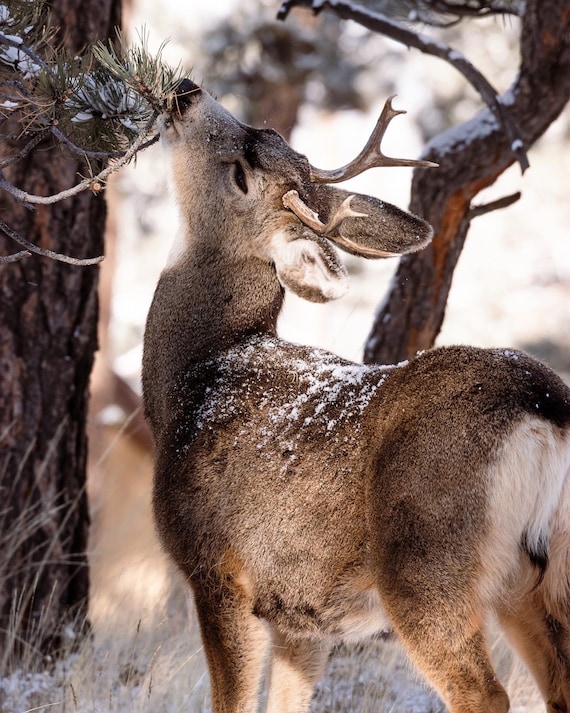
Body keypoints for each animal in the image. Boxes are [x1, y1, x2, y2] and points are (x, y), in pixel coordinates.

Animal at [142, 77, 570, 713]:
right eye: (263, 131)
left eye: (243, 168)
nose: (186, 90)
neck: (193, 378)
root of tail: (543, 404)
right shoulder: (301, 614)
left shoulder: (216, 568)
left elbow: (233, 702)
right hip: (539, 578)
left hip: (426, 559)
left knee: (485, 694)